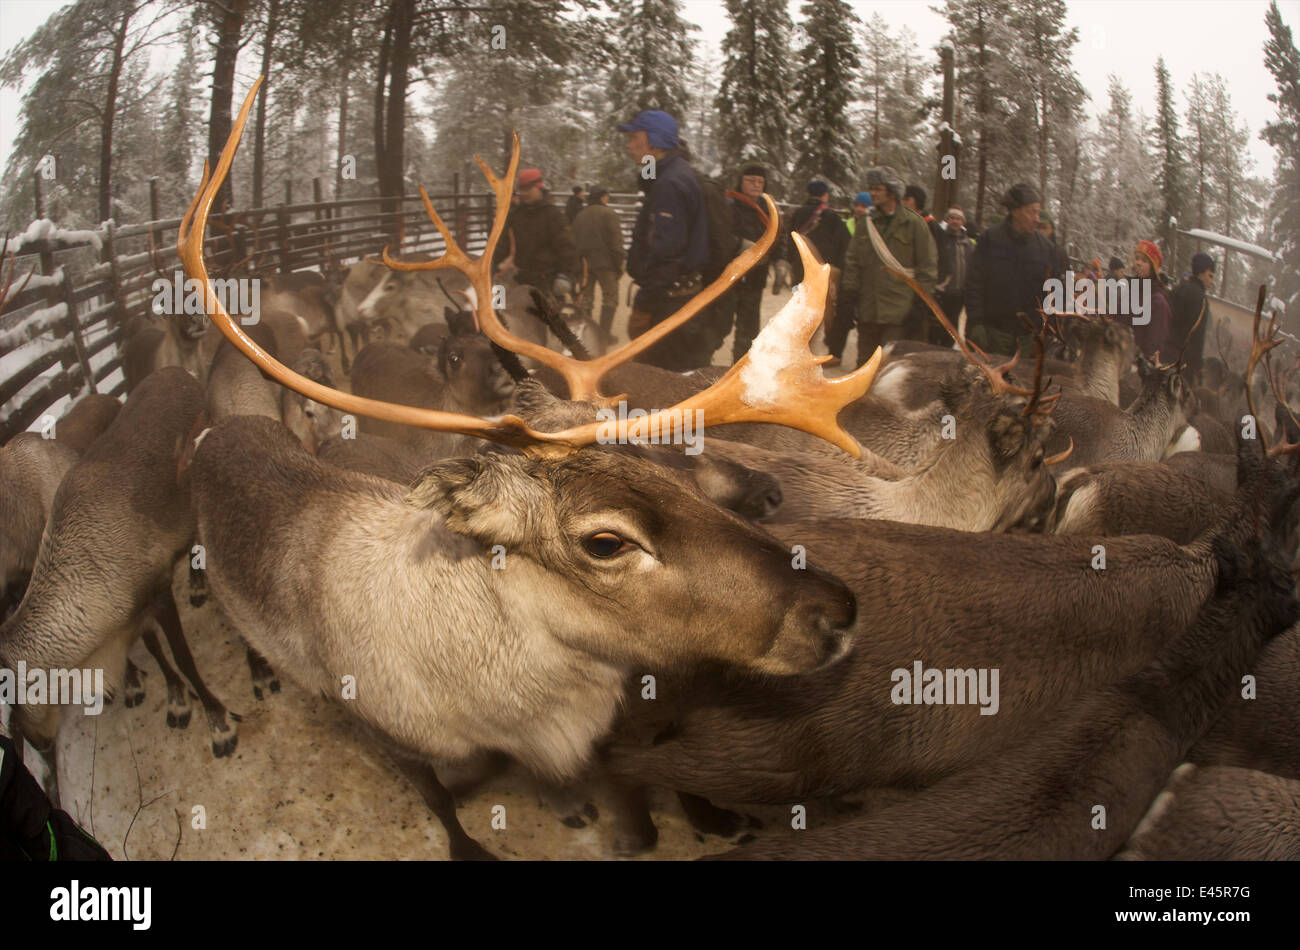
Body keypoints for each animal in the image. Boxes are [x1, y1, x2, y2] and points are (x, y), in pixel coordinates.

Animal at [176, 78, 882, 860]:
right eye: (605, 541)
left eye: (671, 470)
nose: (835, 607)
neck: (502, 699)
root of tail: (228, 422)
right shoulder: (386, 732)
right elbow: (441, 801)